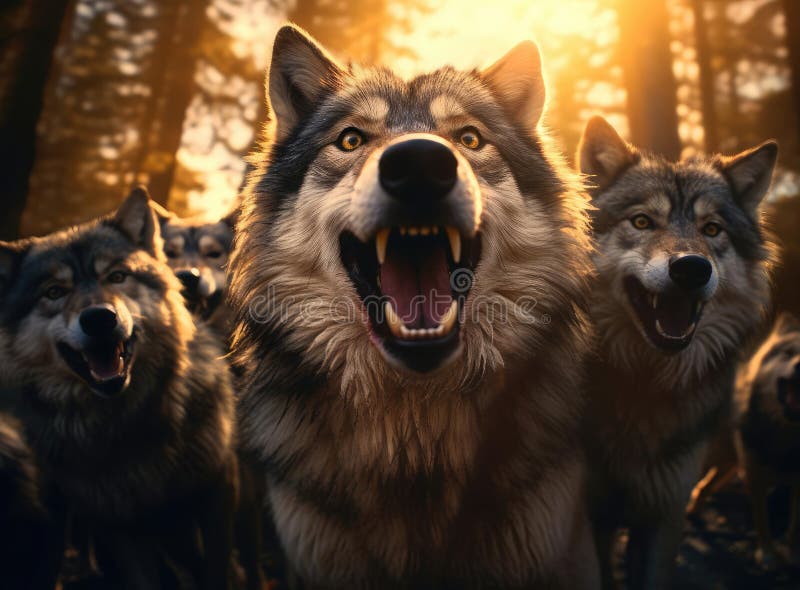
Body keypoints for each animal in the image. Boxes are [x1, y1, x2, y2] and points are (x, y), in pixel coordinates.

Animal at [0, 188, 238, 589]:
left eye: (117, 276)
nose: (99, 318)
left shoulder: (217, 487)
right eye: (54, 292)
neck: (128, 419)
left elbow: (221, 571)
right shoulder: (120, 521)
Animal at [578, 115, 778, 589]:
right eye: (642, 221)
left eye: (712, 230)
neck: (643, 387)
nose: (692, 268)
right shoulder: (587, 518)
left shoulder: (663, 515)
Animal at [735, 313, 800, 569]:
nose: (799, 365)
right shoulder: (755, 476)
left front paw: (791, 553)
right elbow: (762, 521)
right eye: (788, 353)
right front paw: (767, 553)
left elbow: (794, 526)